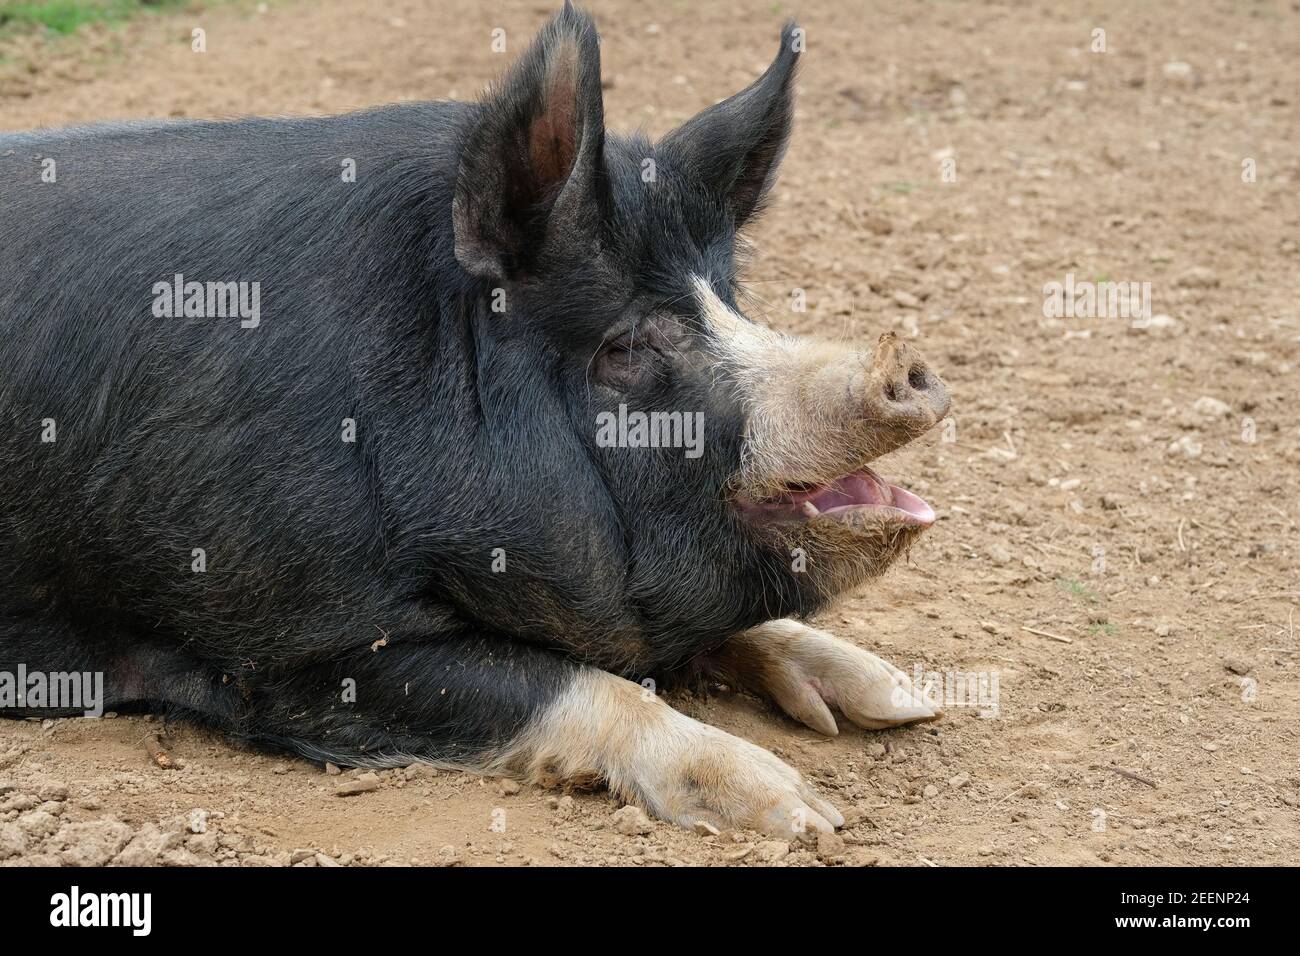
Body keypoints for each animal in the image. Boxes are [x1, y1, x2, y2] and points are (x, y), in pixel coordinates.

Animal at [0, 3, 950, 836]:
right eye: (626, 346)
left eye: (732, 302)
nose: (908, 368)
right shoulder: (286, 649)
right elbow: (575, 683)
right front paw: (807, 813)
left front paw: (908, 702)